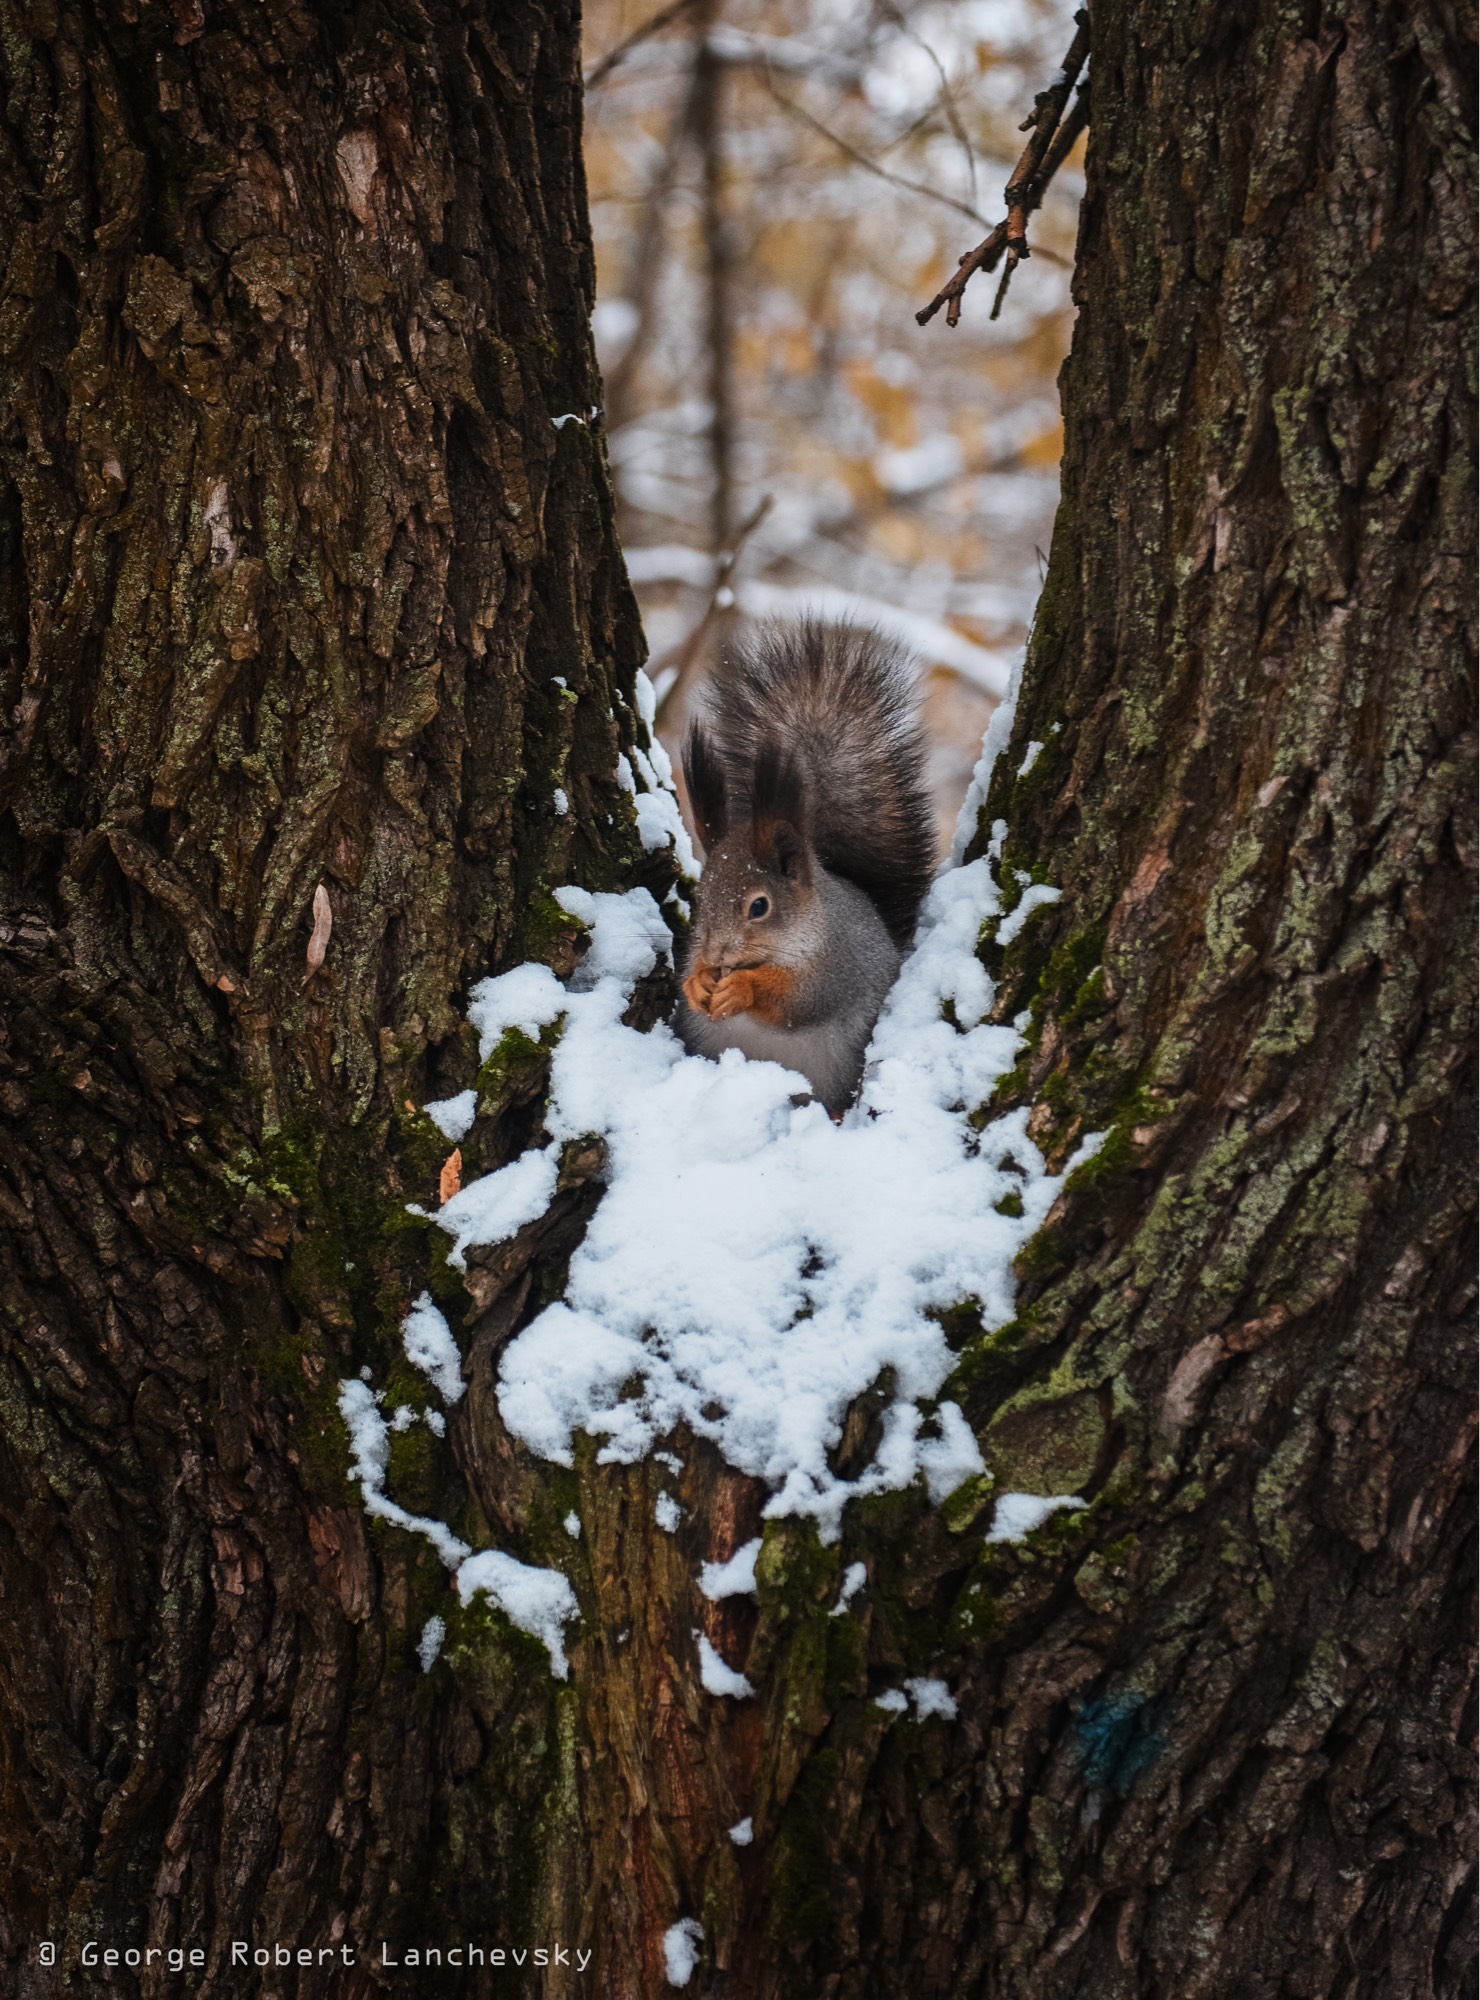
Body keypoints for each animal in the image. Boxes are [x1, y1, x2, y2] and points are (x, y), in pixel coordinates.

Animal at [672, 616, 932, 1120]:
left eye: (759, 907)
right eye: (699, 896)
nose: (715, 955)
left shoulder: (838, 966)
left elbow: (796, 1001)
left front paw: (742, 989)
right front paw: (697, 982)